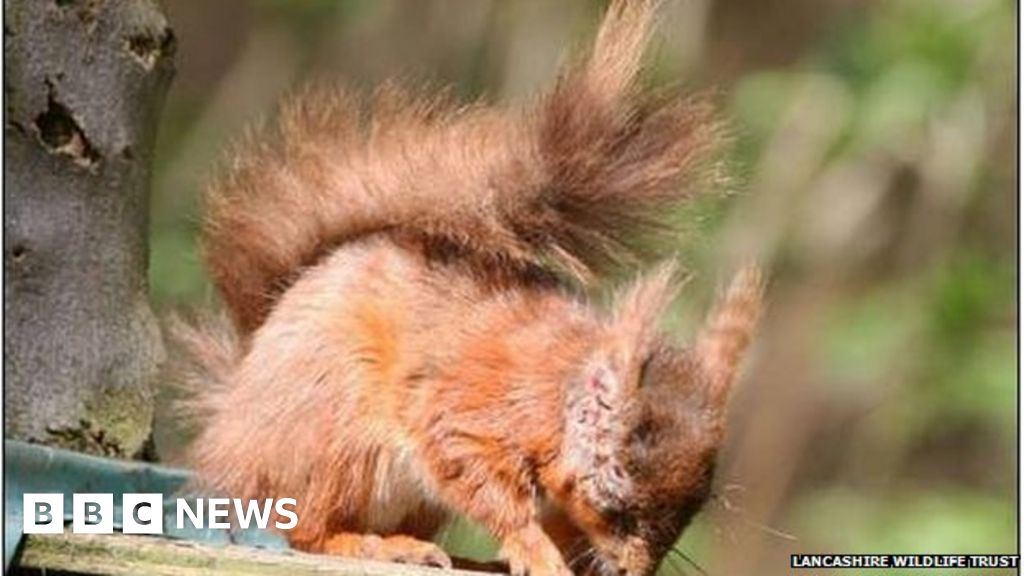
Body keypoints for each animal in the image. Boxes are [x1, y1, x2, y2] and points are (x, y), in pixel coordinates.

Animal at [173, 1, 764, 575]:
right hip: (333, 438)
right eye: (615, 475)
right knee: (304, 527)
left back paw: (451, 554)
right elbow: (480, 478)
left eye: (698, 502)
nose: (633, 570)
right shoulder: (467, 411)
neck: (553, 389)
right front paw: (538, 554)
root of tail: (230, 437)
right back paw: (375, 546)